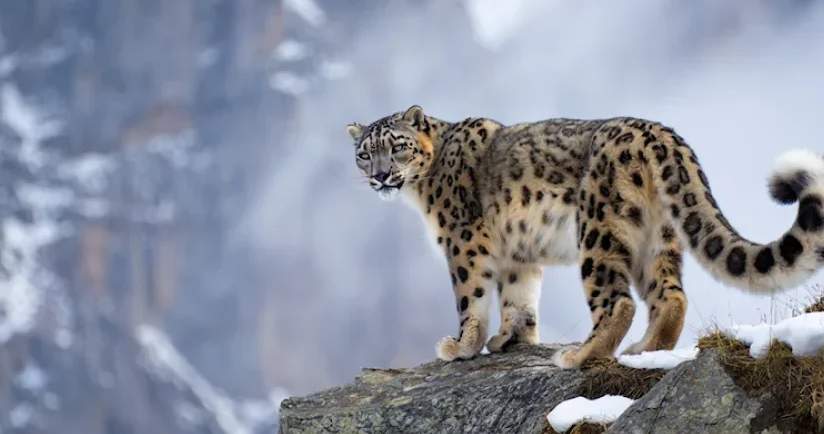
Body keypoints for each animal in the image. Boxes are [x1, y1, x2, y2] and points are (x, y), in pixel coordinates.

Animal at [346, 105, 824, 368]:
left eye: (398, 147)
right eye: (364, 154)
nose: (380, 176)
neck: (421, 194)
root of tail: (659, 133)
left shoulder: (464, 240)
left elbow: (471, 297)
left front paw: (461, 346)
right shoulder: (517, 254)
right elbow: (519, 297)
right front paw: (511, 339)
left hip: (597, 231)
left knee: (618, 301)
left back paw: (580, 355)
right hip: (658, 236)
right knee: (670, 295)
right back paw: (645, 350)